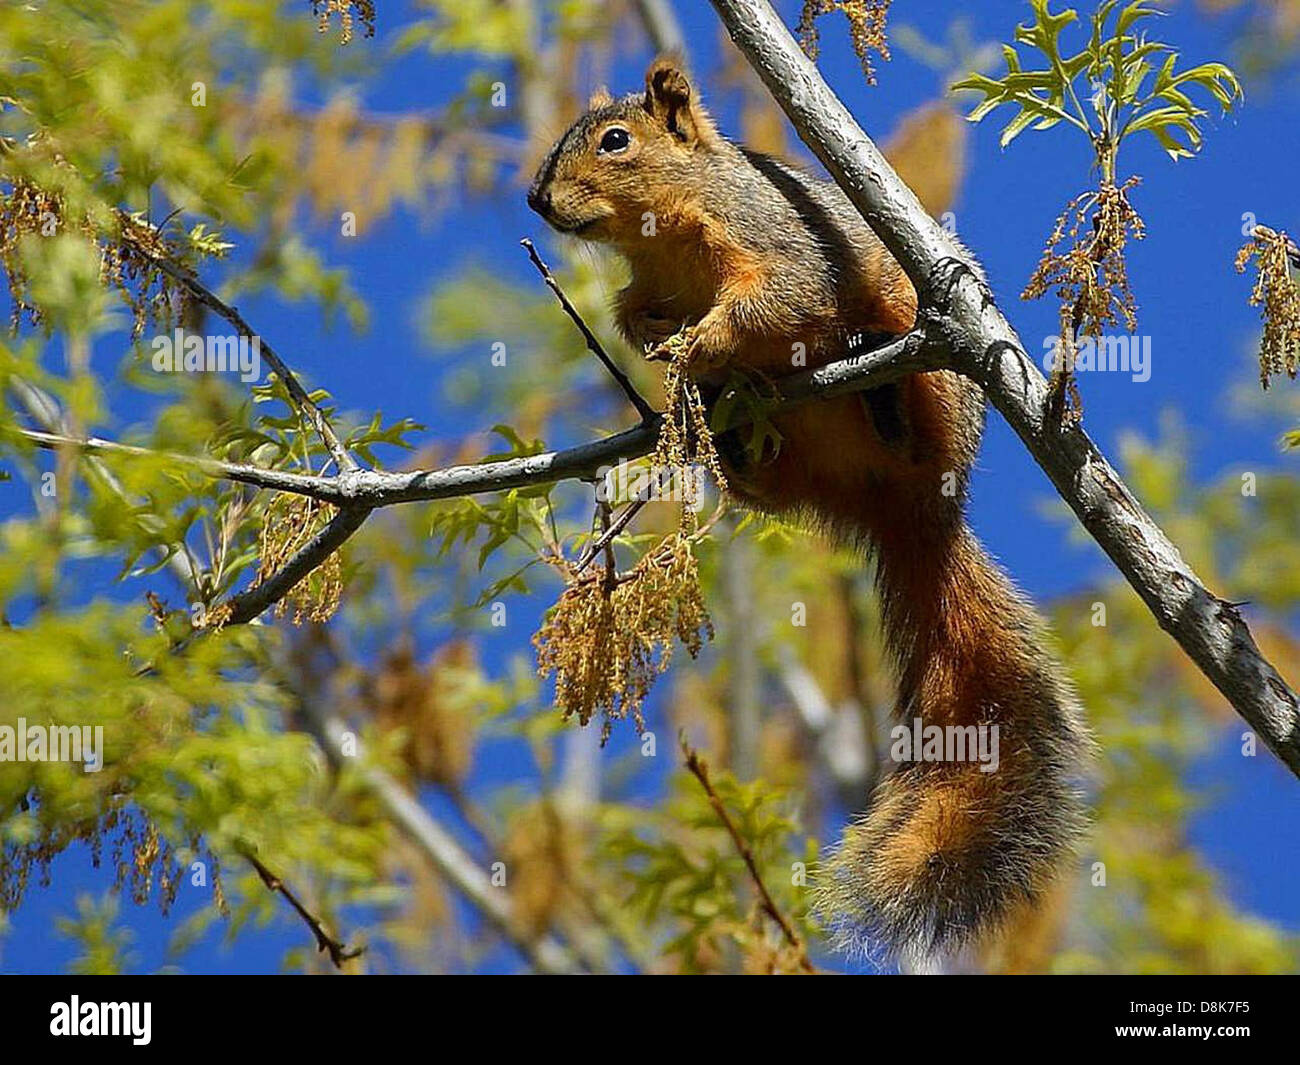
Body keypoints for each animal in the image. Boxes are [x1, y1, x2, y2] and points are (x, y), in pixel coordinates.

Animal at [528, 58, 1090, 961]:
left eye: (616, 141)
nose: (538, 200)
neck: (664, 233)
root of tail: (913, 511)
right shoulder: (649, 282)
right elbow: (634, 313)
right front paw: (663, 346)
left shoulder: (779, 241)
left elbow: (777, 302)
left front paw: (696, 345)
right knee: (769, 476)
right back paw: (738, 442)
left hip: (929, 359)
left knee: (903, 384)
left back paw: (884, 389)